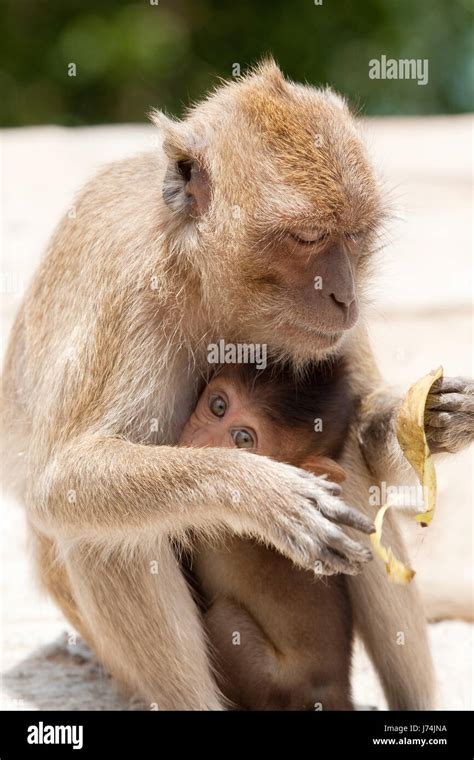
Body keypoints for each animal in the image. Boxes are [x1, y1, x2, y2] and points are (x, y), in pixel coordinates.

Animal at [179, 358, 355, 711]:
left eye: (244, 440)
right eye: (218, 406)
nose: (197, 442)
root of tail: (335, 690)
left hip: (272, 685)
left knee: (224, 617)